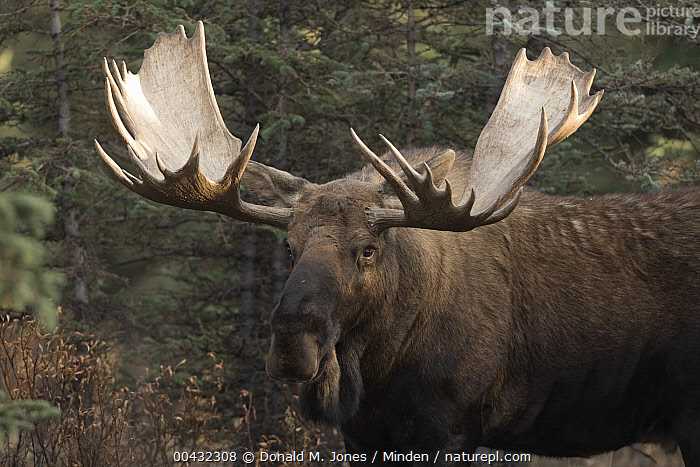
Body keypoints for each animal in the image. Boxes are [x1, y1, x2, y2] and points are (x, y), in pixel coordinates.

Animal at [95, 22, 700, 466]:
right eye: (288, 245)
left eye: (368, 248)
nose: (292, 342)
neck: (379, 370)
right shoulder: (365, 435)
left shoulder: (451, 426)